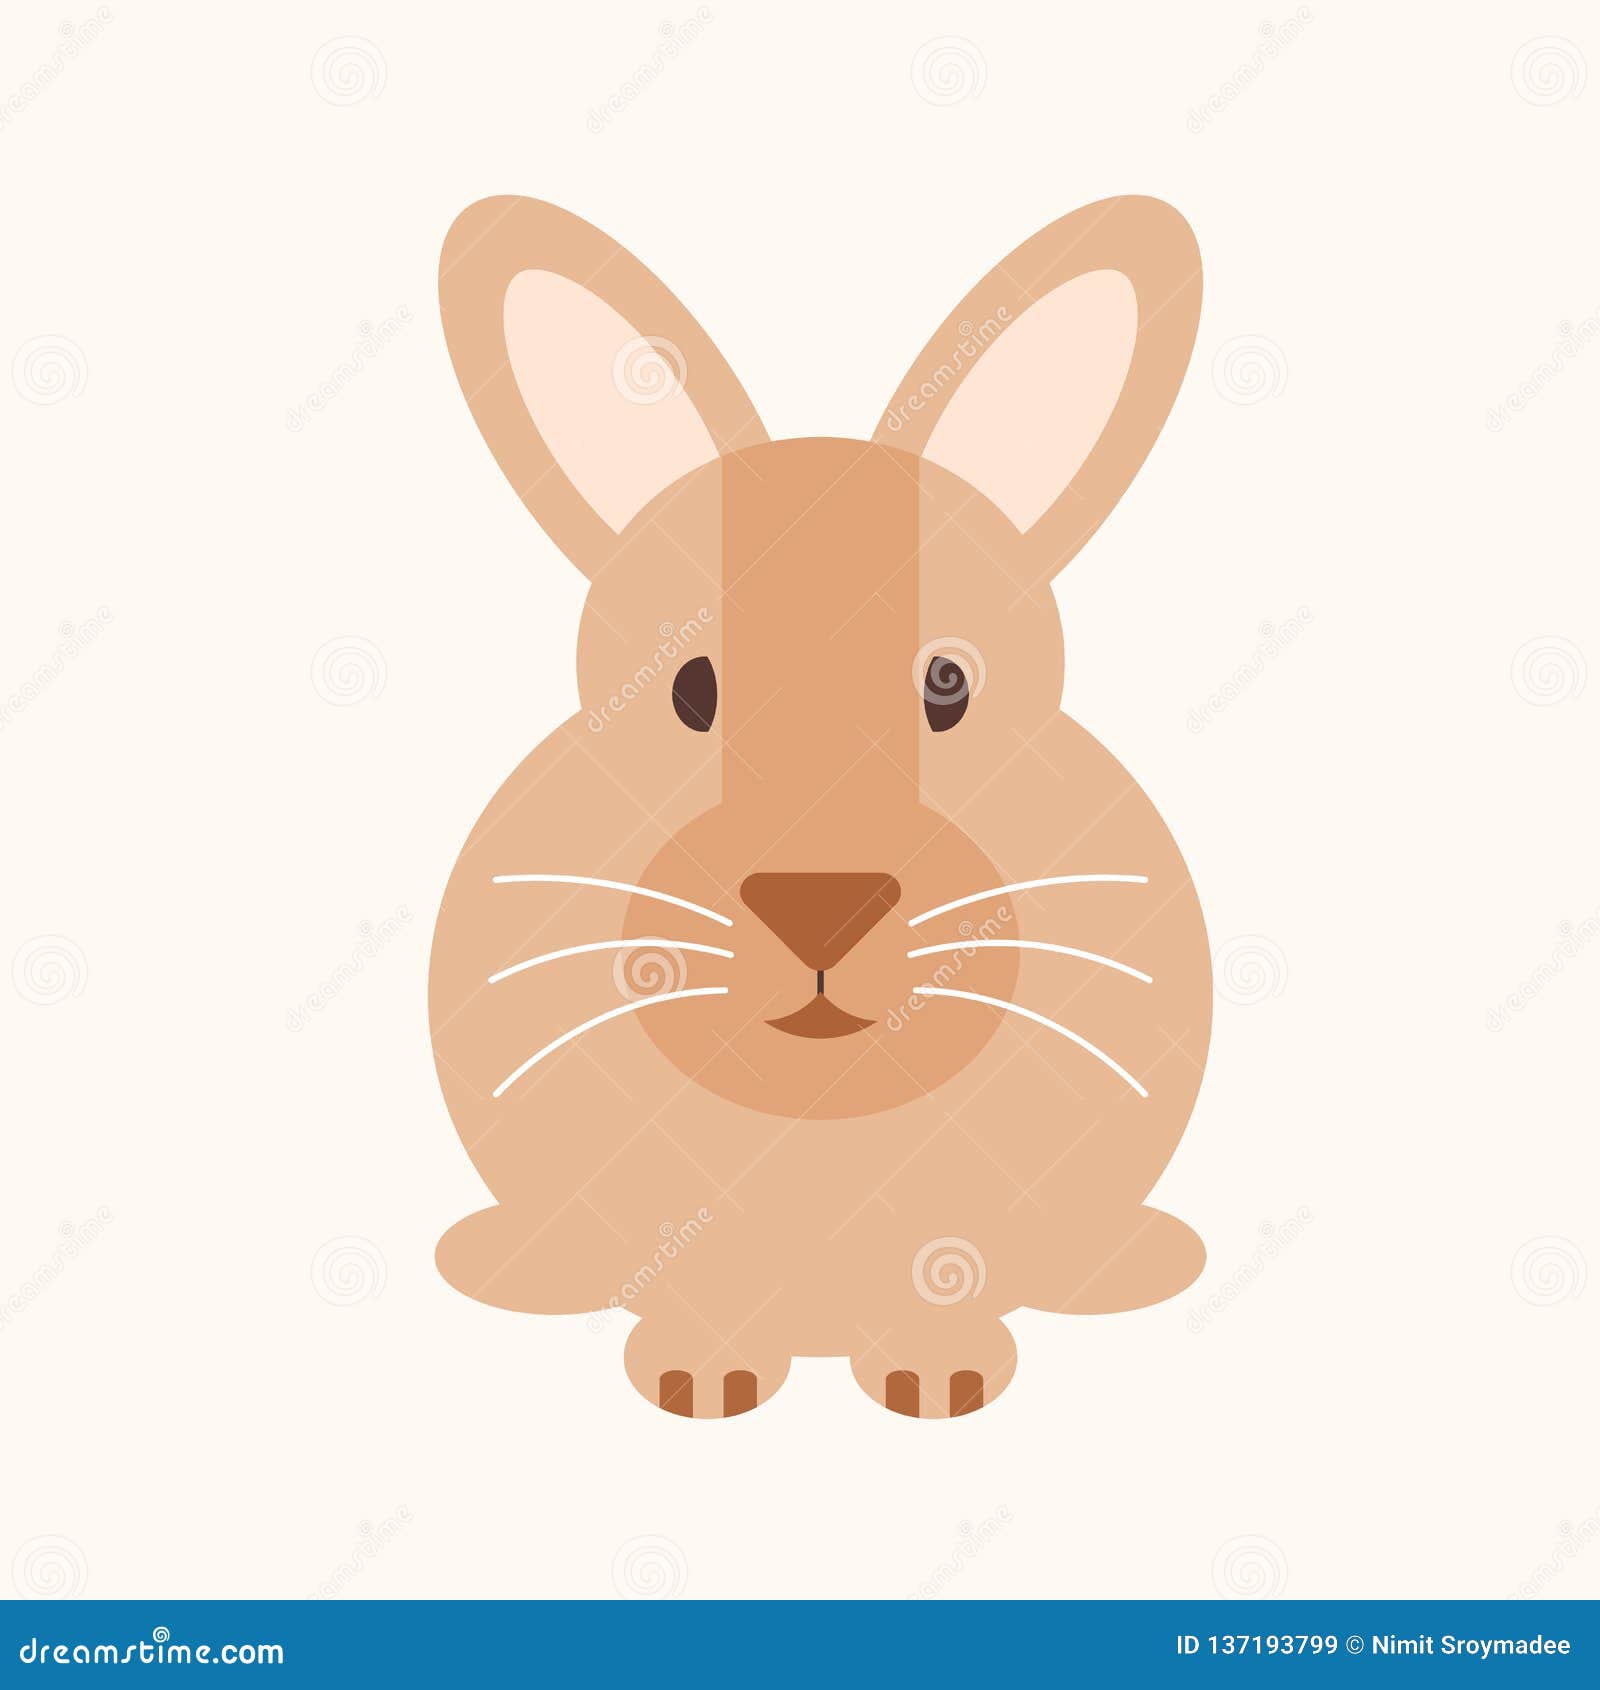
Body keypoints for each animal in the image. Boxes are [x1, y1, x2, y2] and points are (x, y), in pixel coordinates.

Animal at [430, 194, 1211, 1419]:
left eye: (948, 683)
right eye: (689, 687)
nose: (821, 908)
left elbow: (938, 1267)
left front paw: (939, 1379)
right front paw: (700, 1379)